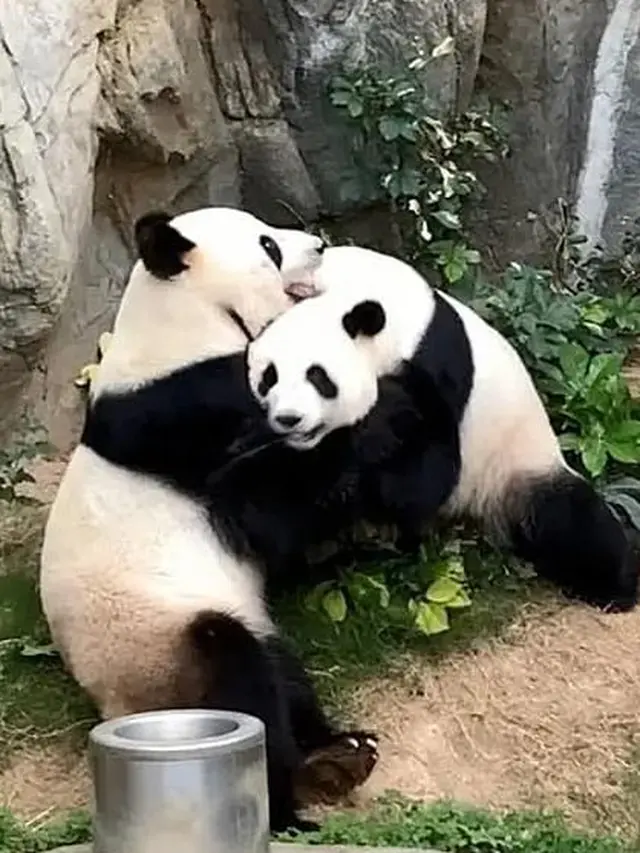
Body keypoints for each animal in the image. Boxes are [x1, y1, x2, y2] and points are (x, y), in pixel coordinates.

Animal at [39, 208, 378, 833]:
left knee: (283, 673)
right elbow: (263, 506)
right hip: (158, 645)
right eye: (269, 246)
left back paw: (338, 753)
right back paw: (290, 796)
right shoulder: (187, 414)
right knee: (239, 675)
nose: (319, 245)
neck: (185, 321)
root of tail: (114, 707)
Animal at [245, 245, 638, 612]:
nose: (289, 419)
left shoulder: (435, 364)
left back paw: (615, 588)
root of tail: (472, 518)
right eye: (269, 377)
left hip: (515, 464)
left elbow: (424, 475)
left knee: (571, 522)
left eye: (318, 377)